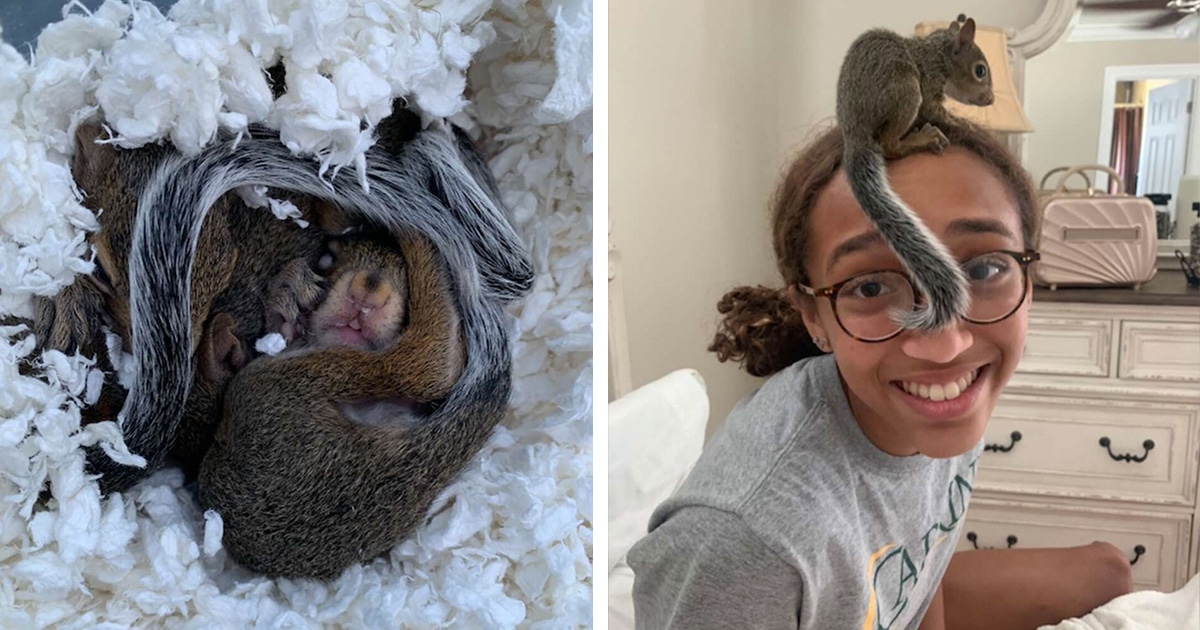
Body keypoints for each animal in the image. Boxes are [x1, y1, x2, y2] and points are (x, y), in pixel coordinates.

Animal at [836, 14, 994, 331]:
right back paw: (922, 138)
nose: (991, 100)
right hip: (905, 91)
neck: (937, 53)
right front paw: (964, 123)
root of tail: (854, 135)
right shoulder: (930, 83)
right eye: (980, 70)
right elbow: (937, 111)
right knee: (890, 144)